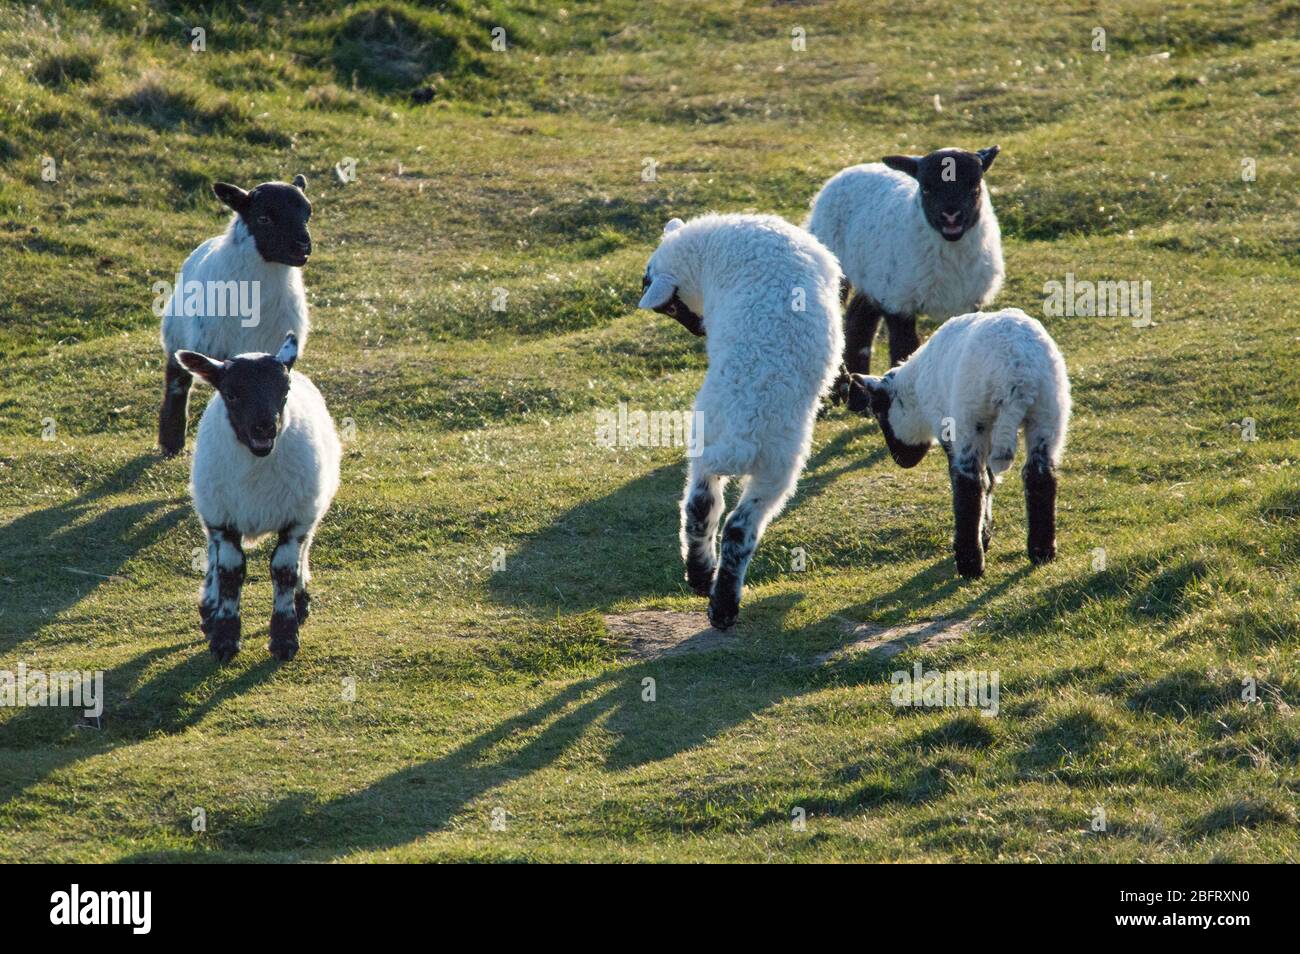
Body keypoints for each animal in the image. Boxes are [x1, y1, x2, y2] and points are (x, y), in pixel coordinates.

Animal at [158, 175, 314, 456]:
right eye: (264, 218)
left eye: (308, 212)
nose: (303, 245)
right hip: (177, 336)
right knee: (177, 383)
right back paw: (171, 441)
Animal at [174, 333, 341, 662]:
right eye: (231, 394)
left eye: (284, 391)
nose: (264, 428)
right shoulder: (222, 521)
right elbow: (230, 572)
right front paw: (224, 636)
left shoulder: (297, 520)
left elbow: (283, 570)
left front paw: (284, 637)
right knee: (212, 554)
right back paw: (209, 607)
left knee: (303, 553)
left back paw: (301, 598)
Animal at [638, 213, 843, 629]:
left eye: (669, 307)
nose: (701, 329)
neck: (705, 251)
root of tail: (744, 428)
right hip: (778, 464)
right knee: (740, 527)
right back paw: (724, 605)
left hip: (706, 434)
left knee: (700, 506)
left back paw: (701, 577)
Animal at [806, 146, 1003, 379]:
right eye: (926, 189)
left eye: (974, 186)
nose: (951, 215)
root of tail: (855, 167)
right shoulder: (898, 302)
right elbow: (904, 350)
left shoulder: (968, 303)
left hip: (874, 277)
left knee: (859, 317)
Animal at [844, 308, 1070, 579]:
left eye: (879, 413)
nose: (901, 461)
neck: (916, 389)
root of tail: (1016, 376)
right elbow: (991, 482)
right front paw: (986, 535)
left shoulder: (947, 428)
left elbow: (980, 483)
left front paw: (981, 539)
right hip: (1048, 412)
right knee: (1039, 476)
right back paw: (1042, 551)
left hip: (969, 417)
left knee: (969, 481)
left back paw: (969, 564)